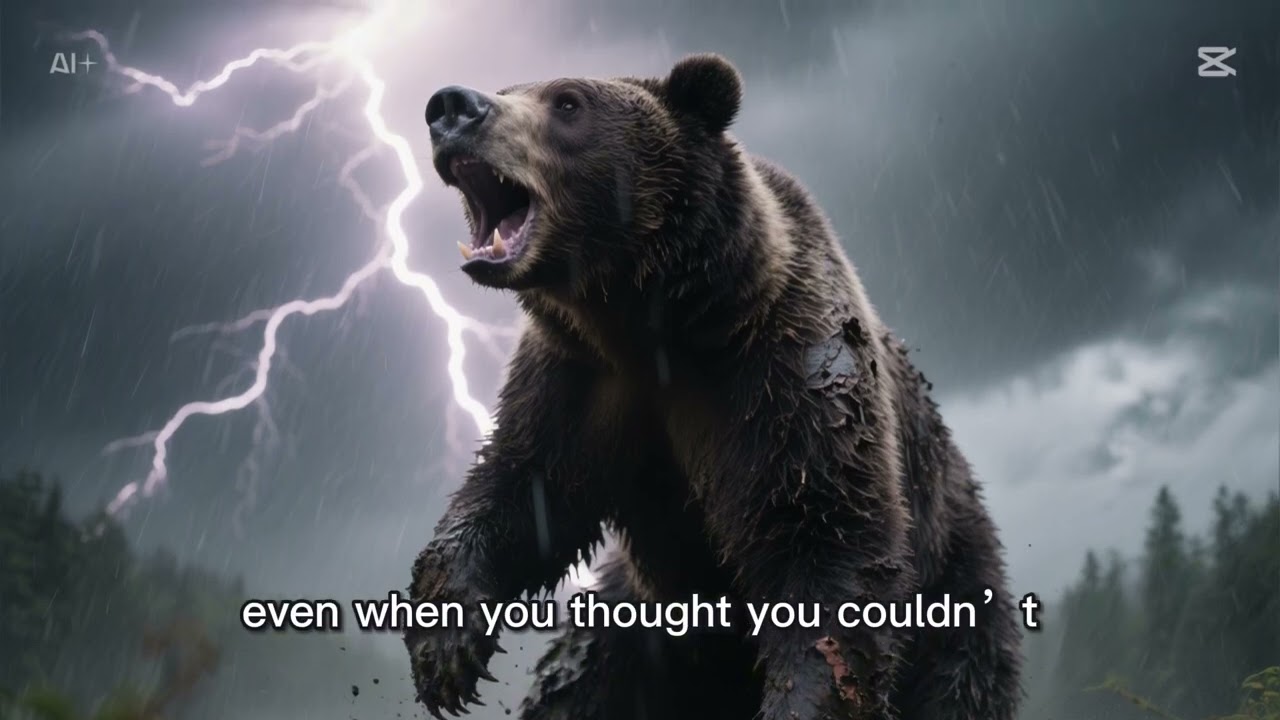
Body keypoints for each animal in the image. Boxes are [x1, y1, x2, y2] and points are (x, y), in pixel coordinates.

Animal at [405, 54, 1023, 720]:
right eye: (508, 87)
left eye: (567, 101)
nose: (451, 107)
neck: (649, 322)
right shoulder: (579, 380)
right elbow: (525, 485)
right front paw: (447, 649)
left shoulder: (780, 371)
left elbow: (826, 541)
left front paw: (801, 698)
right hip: (635, 631)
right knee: (575, 683)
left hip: (958, 590)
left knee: (959, 680)